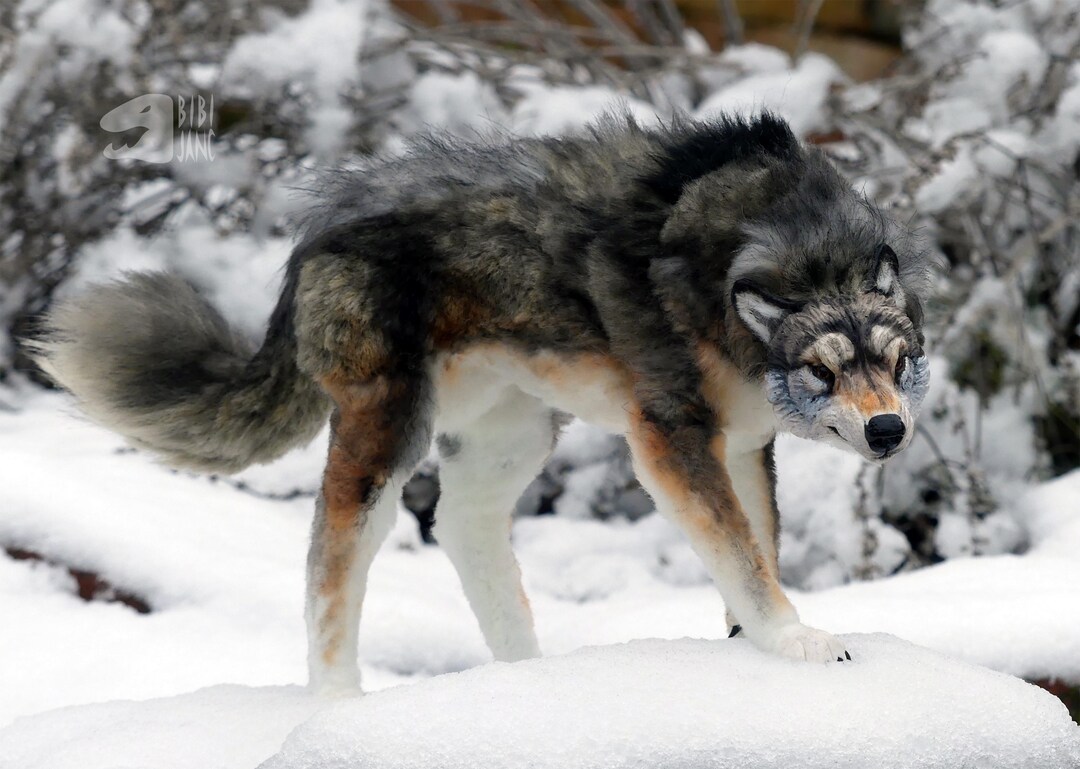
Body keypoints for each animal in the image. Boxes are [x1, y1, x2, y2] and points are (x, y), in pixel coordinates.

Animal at [30, 113, 930, 691]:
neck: (787, 249)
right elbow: (744, 555)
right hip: (386, 446)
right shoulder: (671, 438)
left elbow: (756, 553)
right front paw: (798, 640)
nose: (889, 429)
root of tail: (317, 229)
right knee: (329, 569)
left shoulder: (743, 445)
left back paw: (524, 678)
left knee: (461, 530)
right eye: (822, 370)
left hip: (513, 436)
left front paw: (753, 643)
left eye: (897, 359)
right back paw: (340, 706)